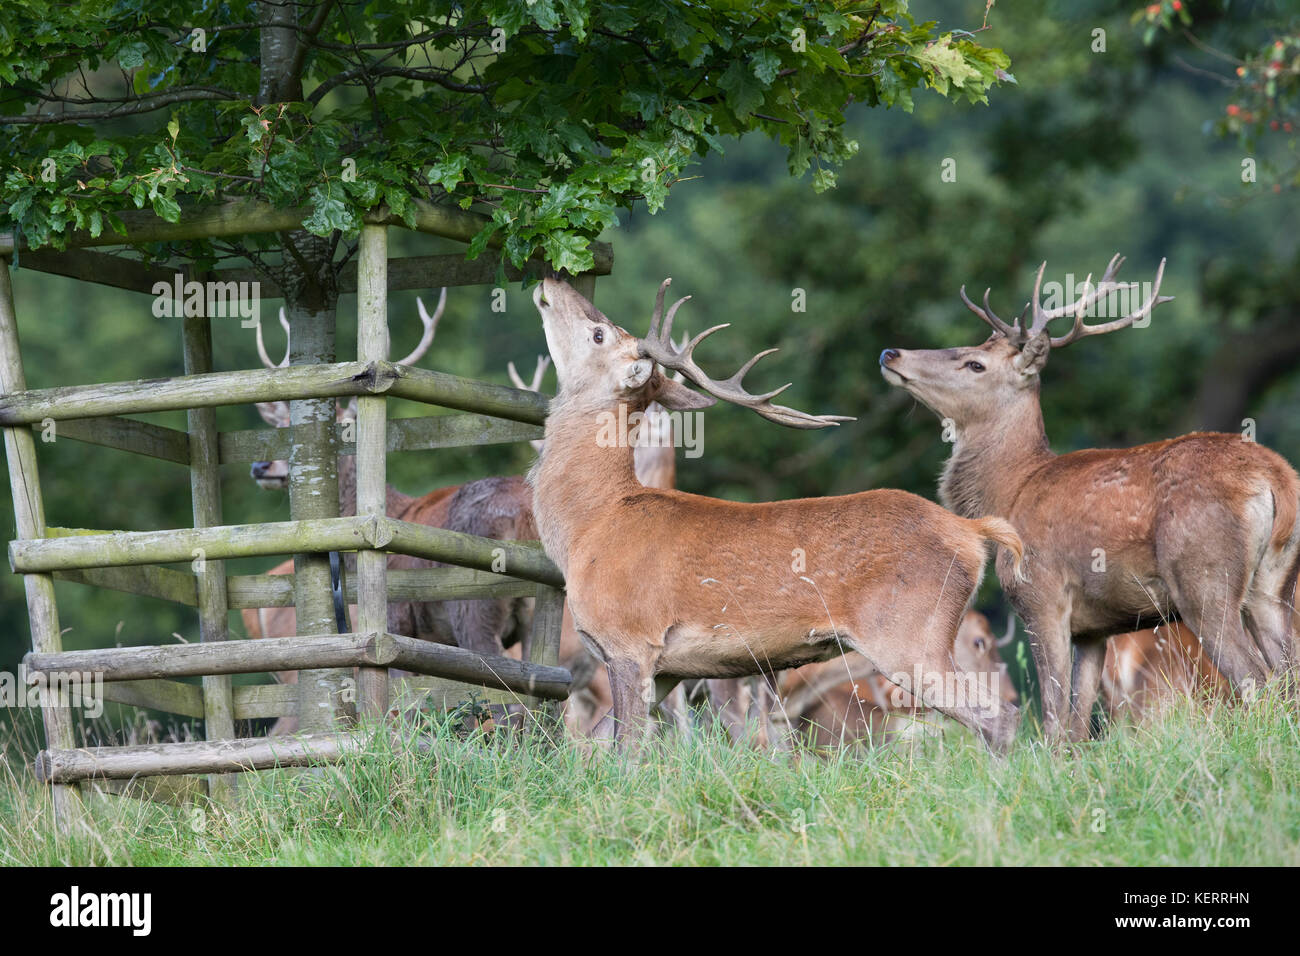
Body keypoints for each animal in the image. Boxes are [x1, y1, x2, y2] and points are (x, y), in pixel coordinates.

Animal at [528, 276, 1026, 752]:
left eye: (599, 334)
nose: (552, 282)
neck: (588, 525)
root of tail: (970, 529)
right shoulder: (669, 668)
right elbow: (593, 748)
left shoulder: (630, 639)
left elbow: (627, 753)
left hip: (911, 635)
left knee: (998, 718)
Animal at [879, 253, 1300, 742]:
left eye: (975, 364)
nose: (891, 353)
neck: (1007, 493)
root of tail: (1276, 477)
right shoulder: (1093, 630)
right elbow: (1077, 728)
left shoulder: (1042, 596)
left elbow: (1052, 719)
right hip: (1273, 586)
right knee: (1287, 679)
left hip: (1204, 578)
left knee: (1258, 682)